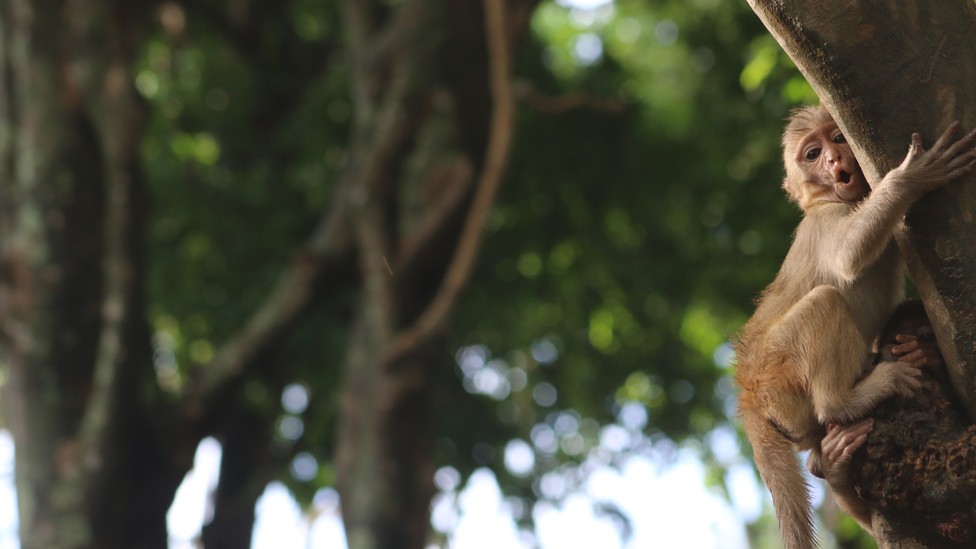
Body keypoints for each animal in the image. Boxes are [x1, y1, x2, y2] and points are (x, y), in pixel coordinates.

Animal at [734, 105, 976, 549]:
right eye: (812, 154)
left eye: (837, 138)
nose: (832, 160)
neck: (828, 200)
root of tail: (747, 392)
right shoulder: (829, 220)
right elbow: (848, 257)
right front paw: (911, 179)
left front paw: (924, 350)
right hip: (778, 374)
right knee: (826, 301)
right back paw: (844, 402)